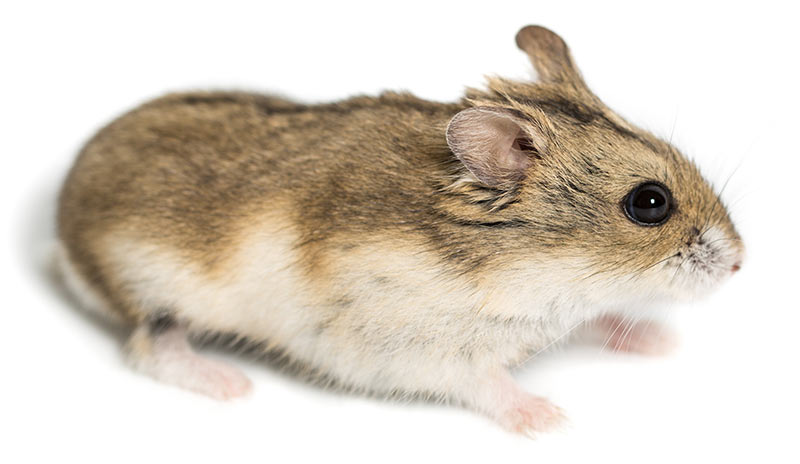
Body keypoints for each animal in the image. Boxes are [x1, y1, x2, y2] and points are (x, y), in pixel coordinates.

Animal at [56, 25, 744, 435]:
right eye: (650, 203)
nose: (740, 263)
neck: (529, 260)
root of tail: (61, 221)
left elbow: (601, 318)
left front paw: (660, 341)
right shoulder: (410, 350)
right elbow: (484, 381)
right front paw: (549, 419)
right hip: (155, 292)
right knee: (152, 346)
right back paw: (230, 384)